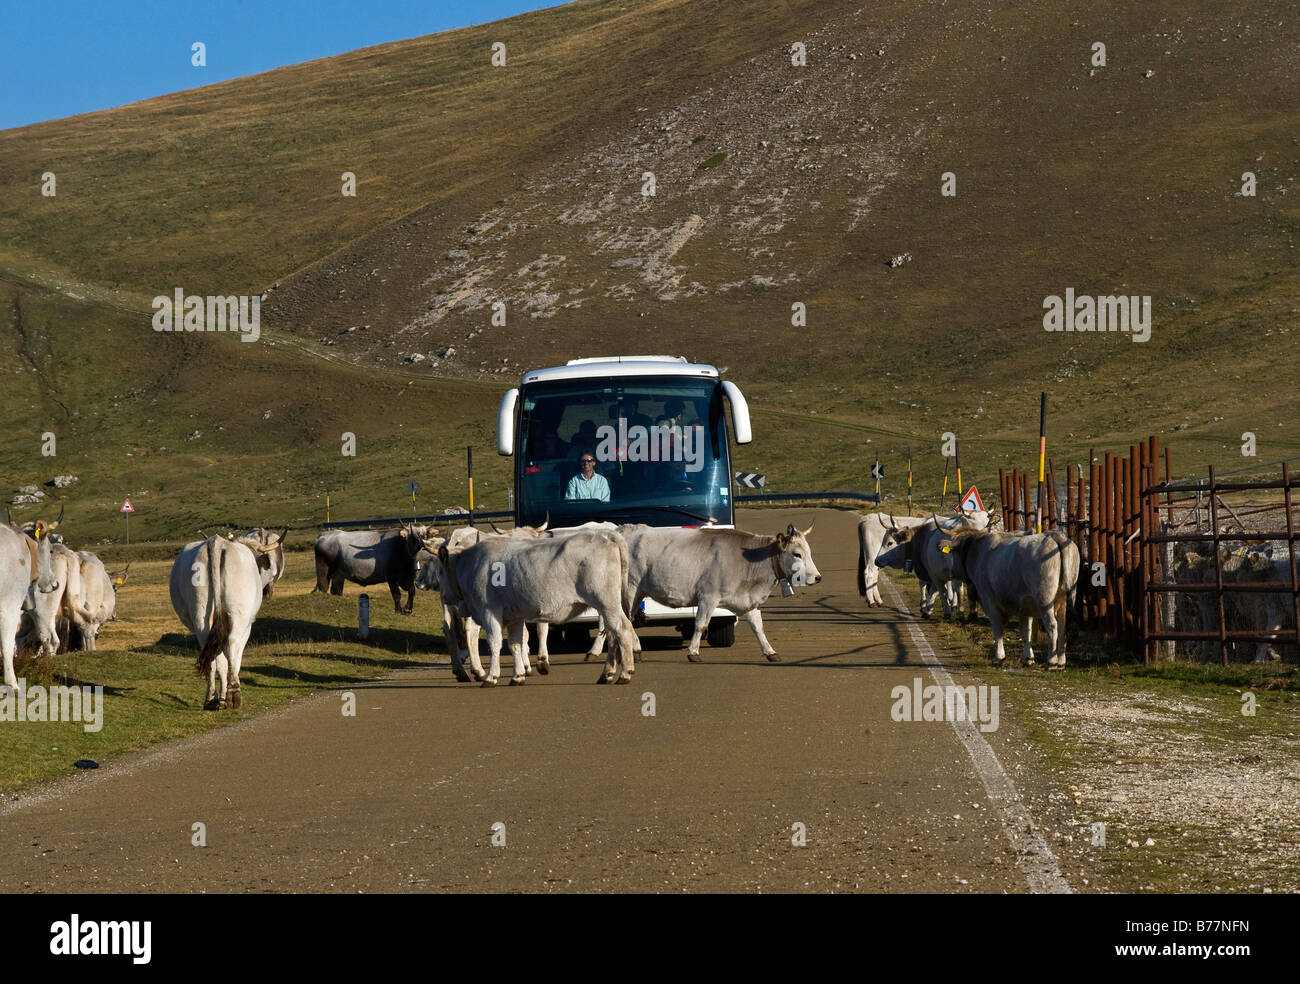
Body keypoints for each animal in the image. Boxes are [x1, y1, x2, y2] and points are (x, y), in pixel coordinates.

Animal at [170, 535, 278, 710]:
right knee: (232, 646)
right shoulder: (247, 626)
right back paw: (233, 693)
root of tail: (217, 542)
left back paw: (211, 698)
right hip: (239, 614)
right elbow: (236, 658)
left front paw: (220, 695)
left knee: (212, 656)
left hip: (200, 614)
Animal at [436, 528, 638, 686]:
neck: (470, 566)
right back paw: (607, 674)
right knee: (612, 635)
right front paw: (518, 676)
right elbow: (515, 644)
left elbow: (495, 643)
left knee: (622, 630)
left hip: (607, 603)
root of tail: (607, 536)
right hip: (607, 607)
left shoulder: (489, 612)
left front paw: (491, 677)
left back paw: (625, 674)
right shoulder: (515, 617)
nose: (444, 596)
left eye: (440, 571)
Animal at [589, 523, 821, 662]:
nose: (817, 577)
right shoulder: (708, 597)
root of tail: (620, 531)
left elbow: (758, 627)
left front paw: (770, 651)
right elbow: (701, 625)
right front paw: (693, 652)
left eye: (809, 552)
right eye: (797, 554)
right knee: (614, 621)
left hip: (637, 593)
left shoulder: (747, 600)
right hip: (627, 590)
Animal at [949, 529, 1080, 667]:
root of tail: (1054, 535)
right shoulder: (1025, 606)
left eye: (952, 553)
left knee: (1052, 626)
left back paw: (1052, 661)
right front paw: (1028, 658)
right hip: (1064, 599)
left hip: (1045, 600)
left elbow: (998, 629)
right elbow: (1025, 631)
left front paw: (999, 657)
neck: (978, 554)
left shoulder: (990, 602)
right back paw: (1061, 661)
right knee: (1063, 627)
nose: (951, 573)